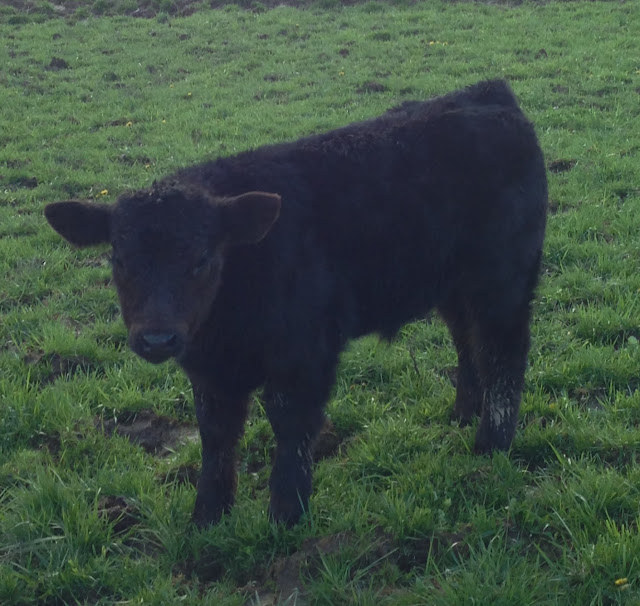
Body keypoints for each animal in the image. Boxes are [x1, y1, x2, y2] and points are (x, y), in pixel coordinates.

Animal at [45, 79, 547, 527]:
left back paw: (491, 442)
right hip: (454, 286)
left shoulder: (305, 354)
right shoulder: (209, 374)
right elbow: (216, 435)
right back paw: (463, 413)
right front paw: (208, 516)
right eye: (119, 258)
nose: (156, 338)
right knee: (467, 340)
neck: (225, 330)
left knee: (504, 349)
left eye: (203, 258)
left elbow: (291, 424)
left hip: (504, 279)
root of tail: (489, 93)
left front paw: (287, 513)